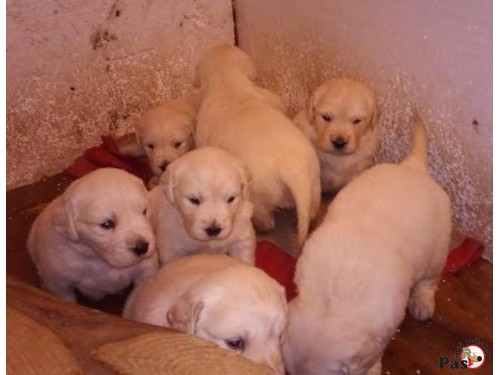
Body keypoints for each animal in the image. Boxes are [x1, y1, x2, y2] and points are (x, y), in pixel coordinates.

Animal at [26, 169, 158, 304]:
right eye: (106, 224)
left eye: (144, 211)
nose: (142, 247)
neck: (97, 259)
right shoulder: (58, 284)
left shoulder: (146, 269)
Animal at [284, 113, 452, 374]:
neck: (332, 306)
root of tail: (412, 167)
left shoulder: (384, 325)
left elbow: (376, 353)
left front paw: (372, 368)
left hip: (438, 246)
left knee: (429, 280)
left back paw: (422, 304)